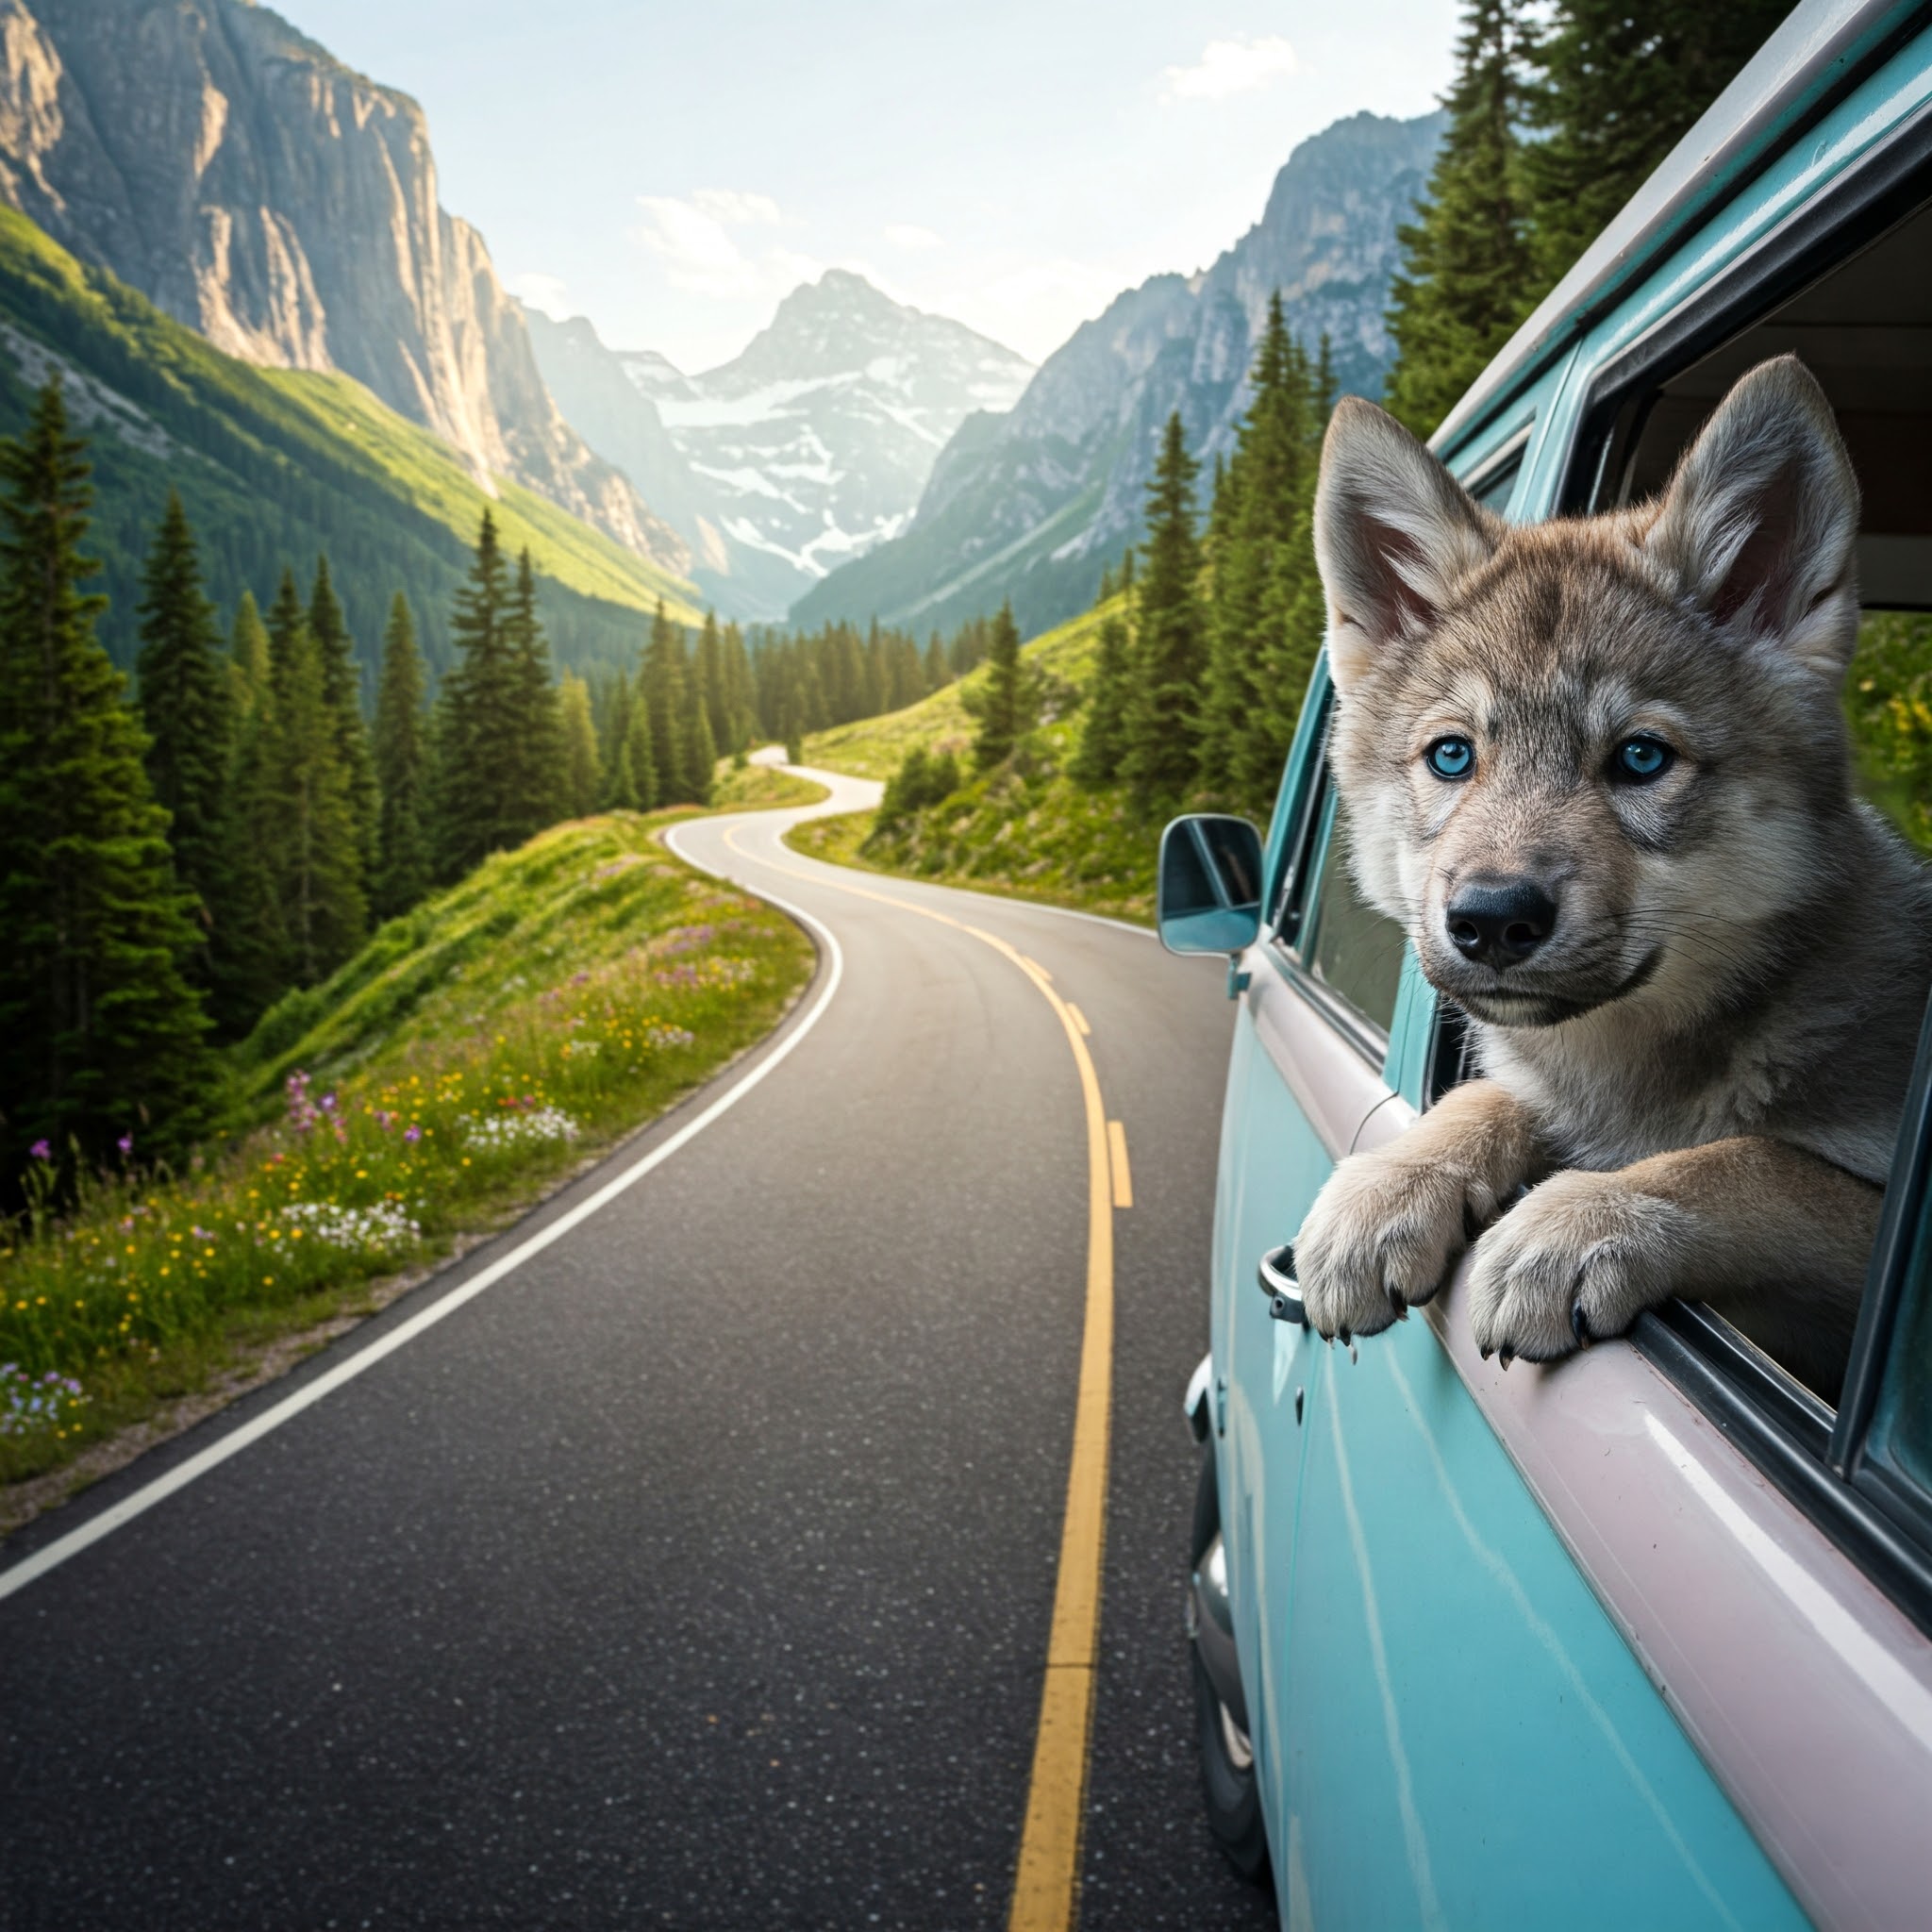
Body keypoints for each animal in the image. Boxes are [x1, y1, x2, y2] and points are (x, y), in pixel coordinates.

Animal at [1291, 355, 1932, 1396]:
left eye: (1639, 758)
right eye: (1451, 756)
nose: (1491, 918)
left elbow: (1751, 1161)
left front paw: (1580, 1221)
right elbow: (1487, 1095)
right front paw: (1389, 1184)